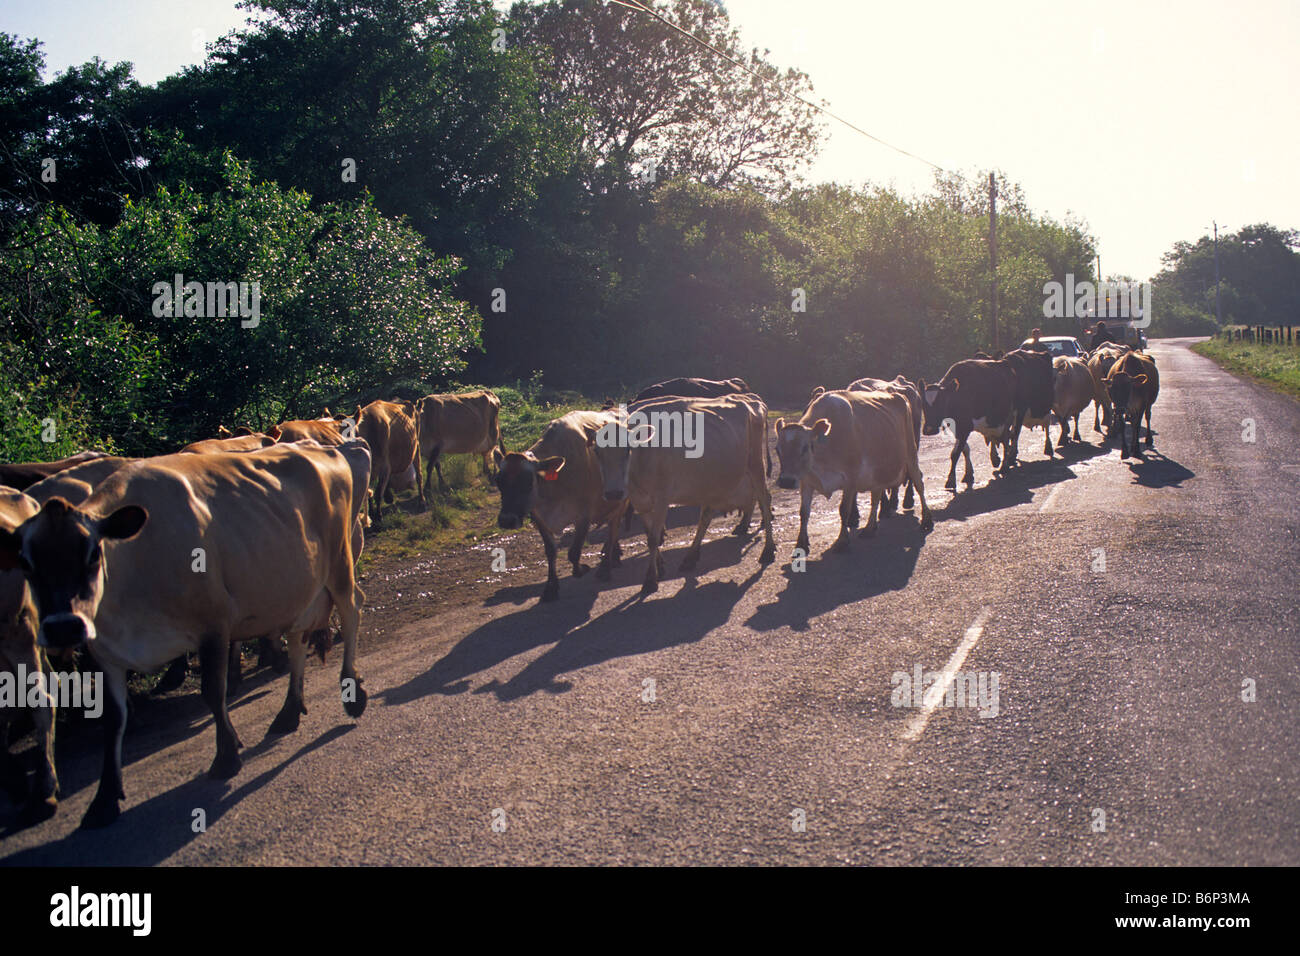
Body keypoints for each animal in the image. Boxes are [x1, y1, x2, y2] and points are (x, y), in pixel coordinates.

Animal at [0, 443, 369, 828]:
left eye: (92, 553)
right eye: (25, 563)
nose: (63, 626)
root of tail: (325, 446)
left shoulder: (214, 622)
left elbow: (212, 692)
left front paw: (226, 757)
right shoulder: (105, 652)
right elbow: (112, 721)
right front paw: (104, 799)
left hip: (339, 565)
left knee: (352, 610)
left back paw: (353, 691)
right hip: (298, 588)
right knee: (298, 639)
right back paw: (290, 710)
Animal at [493, 410, 628, 603]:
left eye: (528, 481)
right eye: (498, 481)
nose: (506, 520)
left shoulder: (584, 515)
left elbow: (574, 552)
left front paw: (581, 569)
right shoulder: (539, 518)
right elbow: (550, 551)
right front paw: (551, 588)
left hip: (620, 498)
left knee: (614, 527)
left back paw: (606, 566)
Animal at [591, 394, 775, 593]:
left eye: (627, 449)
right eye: (596, 452)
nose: (613, 493)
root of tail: (750, 399)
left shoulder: (662, 498)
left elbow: (654, 538)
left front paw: (650, 580)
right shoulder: (640, 501)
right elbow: (649, 535)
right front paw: (659, 567)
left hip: (755, 464)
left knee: (764, 501)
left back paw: (768, 550)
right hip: (713, 480)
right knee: (707, 515)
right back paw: (691, 557)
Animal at [775, 389, 932, 557]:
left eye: (805, 447)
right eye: (777, 449)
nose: (786, 481)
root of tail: (897, 394)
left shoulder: (850, 479)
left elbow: (844, 510)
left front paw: (842, 541)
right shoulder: (806, 480)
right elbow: (804, 513)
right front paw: (801, 544)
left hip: (911, 454)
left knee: (919, 483)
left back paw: (927, 520)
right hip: (878, 472)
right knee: (876, 496)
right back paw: (870, 528)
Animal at [918, 359, 1018, 491]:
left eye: (941, 402)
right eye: (923, 404)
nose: (929, 430)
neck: (958, 396)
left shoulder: (964, 428)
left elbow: (955, 453)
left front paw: (951, 480)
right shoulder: (957, 428)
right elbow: (964, 450)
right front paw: (968, 474)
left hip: (1008, 417)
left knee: (1006, 440)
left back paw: (1004, 467)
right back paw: (995, 458)